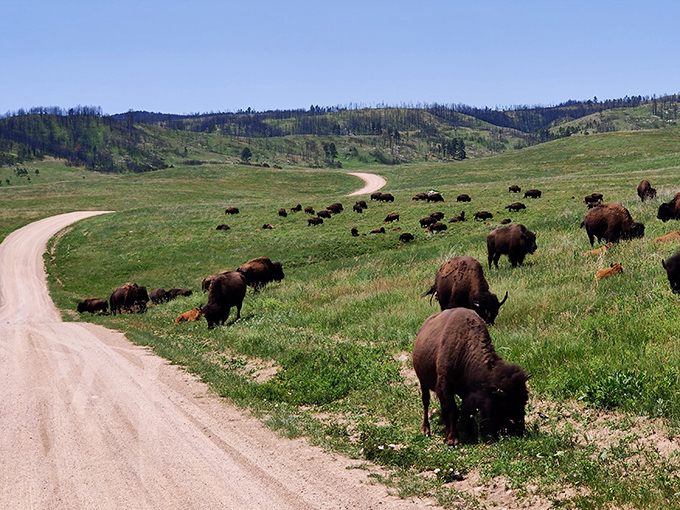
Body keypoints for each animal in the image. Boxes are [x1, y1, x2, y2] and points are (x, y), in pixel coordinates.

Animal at [412, 308, 529, 445]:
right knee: (426, 402)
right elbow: (452, 411)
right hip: (423, 382)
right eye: (506, 404)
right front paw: (453, 439)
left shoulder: (466, 391)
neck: (466, 345)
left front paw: (469, 432)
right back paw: (426, 429)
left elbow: (466, 410)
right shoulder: (444, 384)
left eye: (524, 400)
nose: (520, 430)